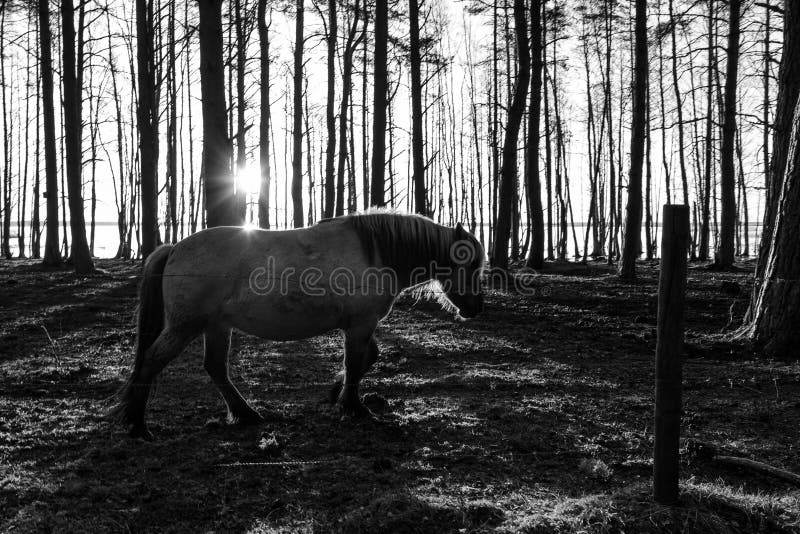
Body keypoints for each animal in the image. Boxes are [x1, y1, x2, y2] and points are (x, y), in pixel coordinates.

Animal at [109, 212, 485, 439]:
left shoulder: (359, 325)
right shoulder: (359, 325)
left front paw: (337, 394)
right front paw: (354, 406)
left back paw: (246, 414)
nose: (476, 308)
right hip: (185, 327)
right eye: (469, 262)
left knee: (215, 368)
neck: (376, 253)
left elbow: (367, 358)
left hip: (216, 326)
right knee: (151, 362)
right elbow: (356, 362)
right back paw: (138, 426)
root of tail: (175, 248)